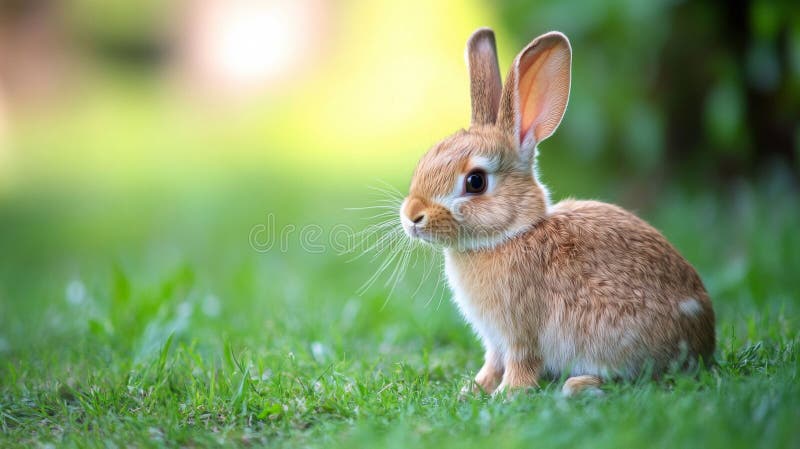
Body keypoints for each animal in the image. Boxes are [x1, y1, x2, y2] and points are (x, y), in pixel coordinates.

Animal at [398, 28, 715, 397]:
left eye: (475, 182)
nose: (412, 216)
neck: (512, 234)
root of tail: (706, 340)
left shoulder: (520, 333)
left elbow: (520, 364)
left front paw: (507, 395)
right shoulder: (494, 341)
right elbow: (491, 363)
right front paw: (473, 390)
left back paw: (578, 385)